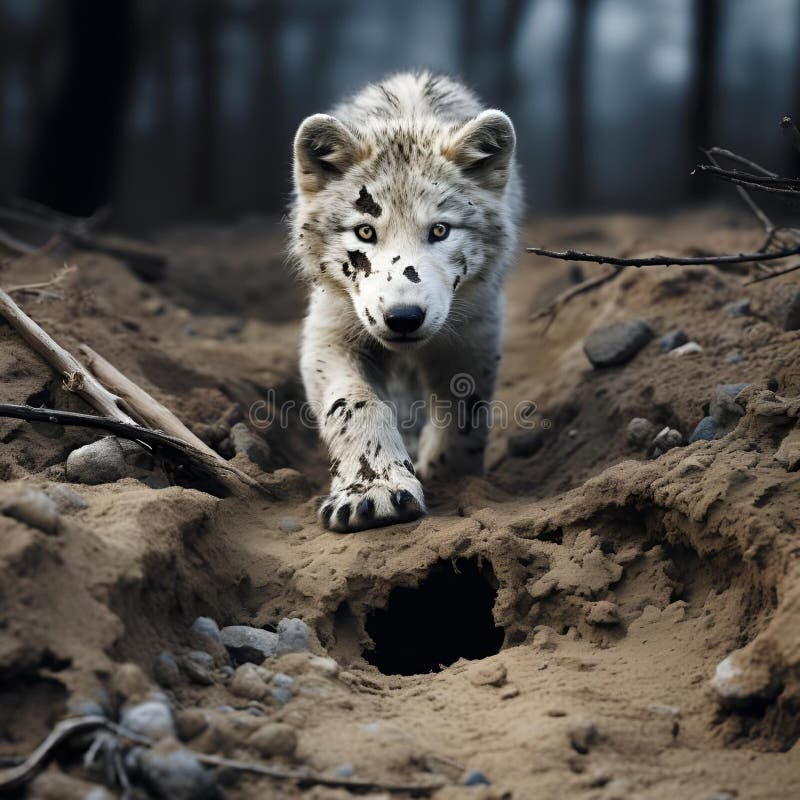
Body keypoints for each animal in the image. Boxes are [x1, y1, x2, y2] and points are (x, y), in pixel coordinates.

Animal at [289, 71, 521, 532]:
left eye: (440, 231)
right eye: (364, 232)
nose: (403, 317)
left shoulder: (474, 338)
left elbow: (465, 414)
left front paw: (451, 477)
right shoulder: (331, 335)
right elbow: (355, 405)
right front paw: (372, 492)